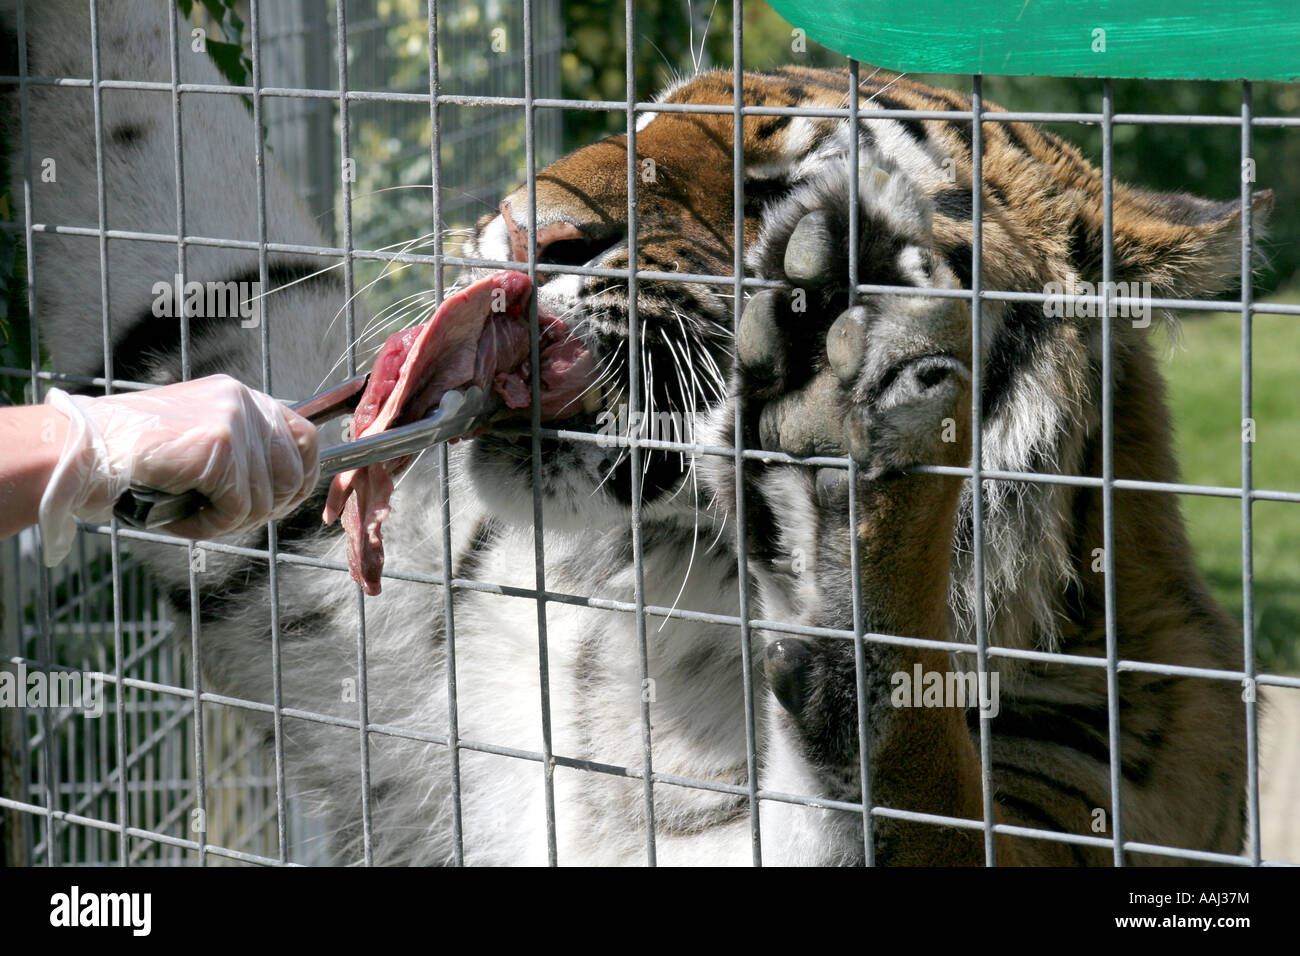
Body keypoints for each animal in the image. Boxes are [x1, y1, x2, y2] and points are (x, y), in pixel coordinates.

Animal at [2, 0, 1265, 865]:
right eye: (637, 123)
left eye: (770, 186)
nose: (525, 223)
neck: (662, 623)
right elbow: (187, 236)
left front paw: (848, 477)